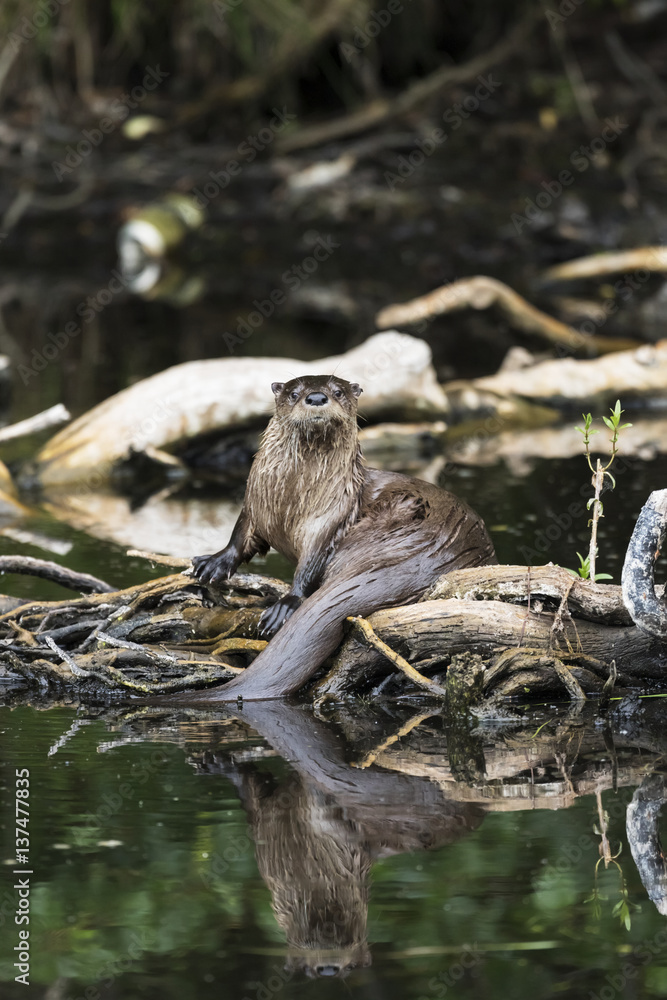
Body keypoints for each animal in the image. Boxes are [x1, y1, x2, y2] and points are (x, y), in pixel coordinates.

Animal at [187, 374, 496, 701]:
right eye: (294, 393)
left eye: (338, 391)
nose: (317, 397)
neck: (290, 501)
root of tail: (426, 553)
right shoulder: (256, 503)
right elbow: (241, 534)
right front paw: (214, 562)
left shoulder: (329, 520)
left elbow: (310, 563)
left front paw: (290, 600)